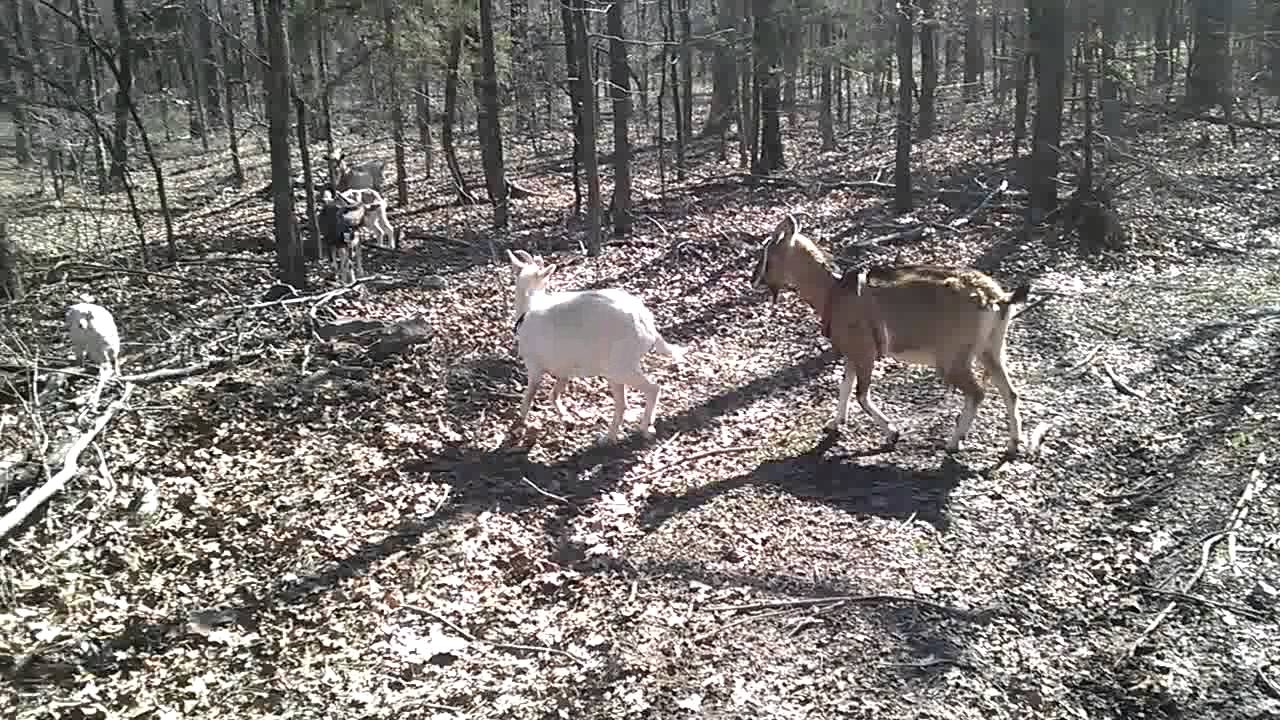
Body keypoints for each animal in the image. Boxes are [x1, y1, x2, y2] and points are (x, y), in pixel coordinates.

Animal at [507, 249, 686, 442]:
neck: (530, 305)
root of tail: (645, 321)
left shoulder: (535, 367)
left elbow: (528, 398)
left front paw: (519, 425)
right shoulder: (564, 371)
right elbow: (553, 394)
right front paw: (567, 419)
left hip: (622, 367)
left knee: (653, 389)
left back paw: (645, 429)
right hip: (615, 372)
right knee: (622, 404)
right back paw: (609, 437)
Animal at [751, 215, 1030, 455]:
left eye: (768, 253)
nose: (753, 279)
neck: (833, 291)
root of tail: (996, 298)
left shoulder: (864, 351)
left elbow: (861, 394)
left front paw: (892, 433)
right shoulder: (851, 352)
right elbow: (845, 386)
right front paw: (834, 423)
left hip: (953, 357)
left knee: (977, 393)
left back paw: (953, 442)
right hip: (991, 348)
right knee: (1010, 391)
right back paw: (1013, 444)